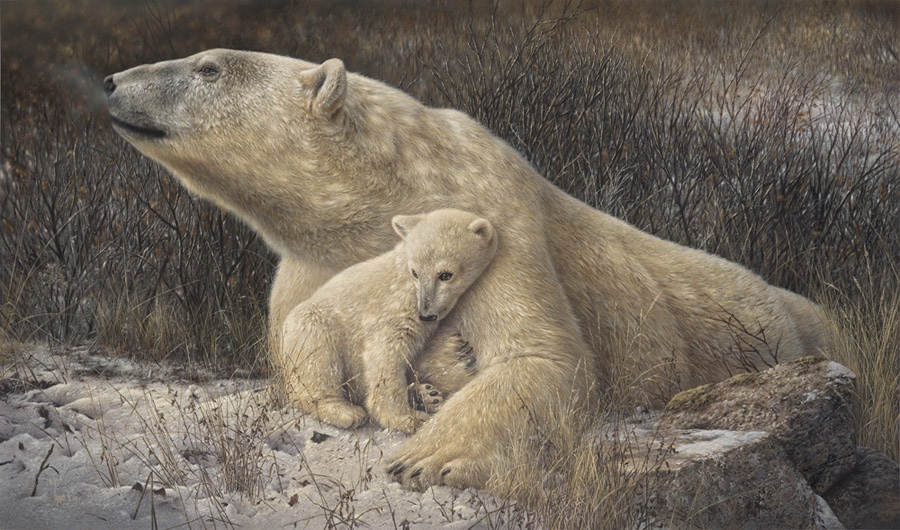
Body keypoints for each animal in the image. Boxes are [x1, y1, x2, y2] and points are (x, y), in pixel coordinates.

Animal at [278, 208, 497, 434]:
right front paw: (408, 419)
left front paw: (457, 354)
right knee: (317, 358)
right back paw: (346, 412)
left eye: (445, 275)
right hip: (308, 328)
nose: (426, 314)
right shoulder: (392, 308)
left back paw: (425, 395)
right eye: (415, 272)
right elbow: (385, 353)